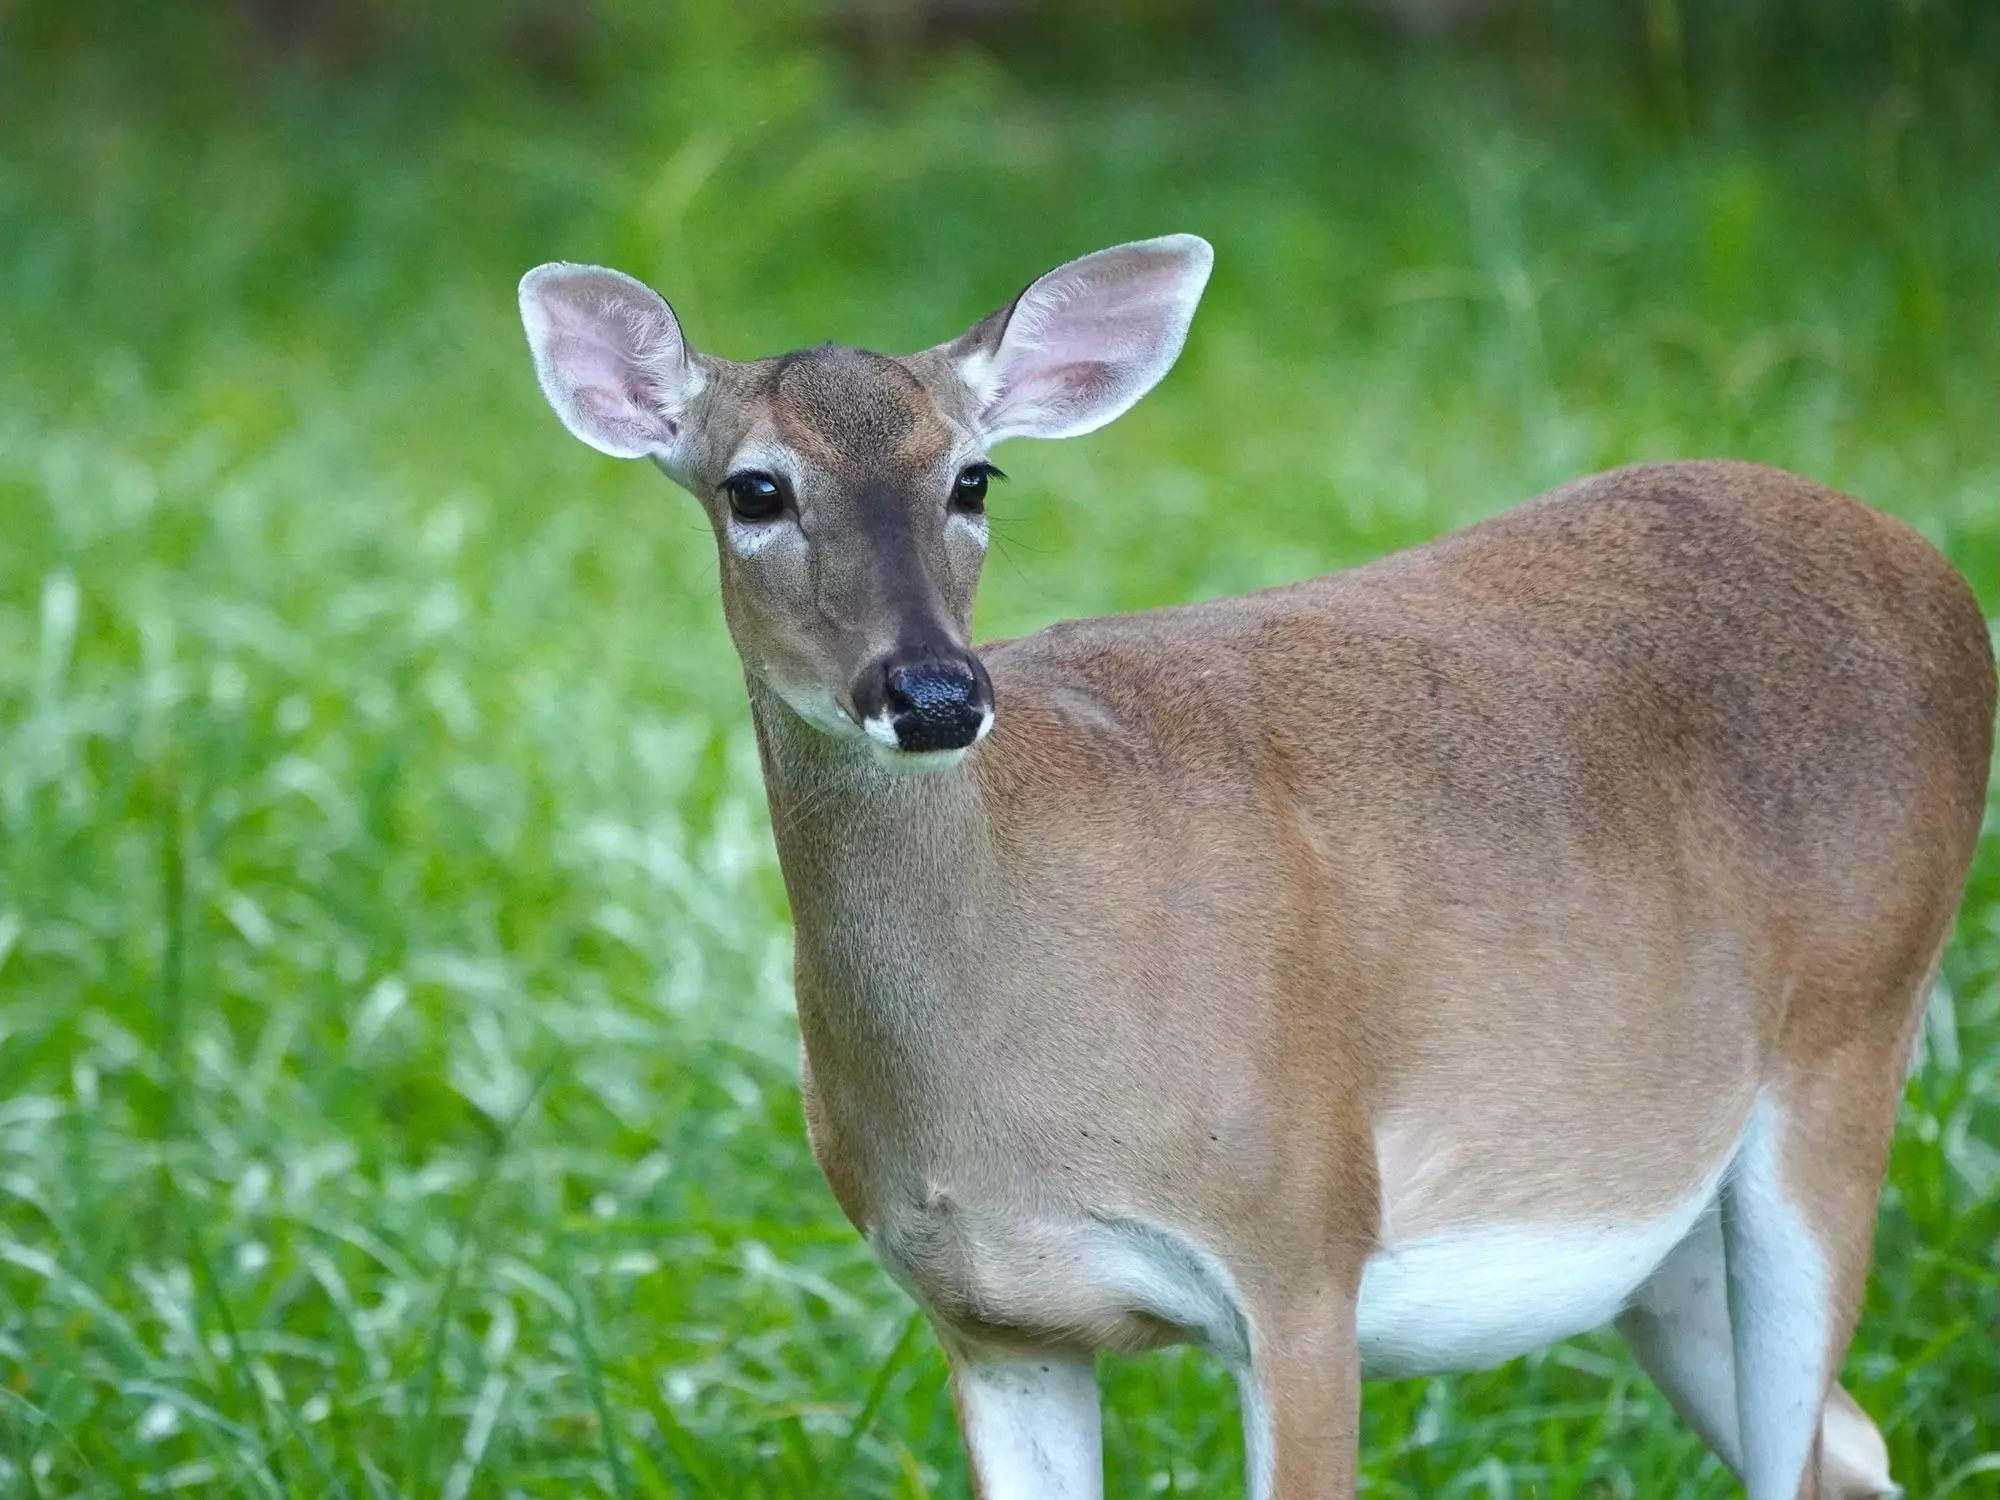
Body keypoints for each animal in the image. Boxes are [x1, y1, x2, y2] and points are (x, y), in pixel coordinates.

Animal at [520, 238, 2000, 1500]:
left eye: (975, 477)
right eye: (756, 489)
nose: (934, 691)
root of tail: (1935, 575)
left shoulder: (1301, 1241)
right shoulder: (989, 1316)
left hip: (1850, 1031)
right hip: (1664, 1216)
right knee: (1849, 1449)